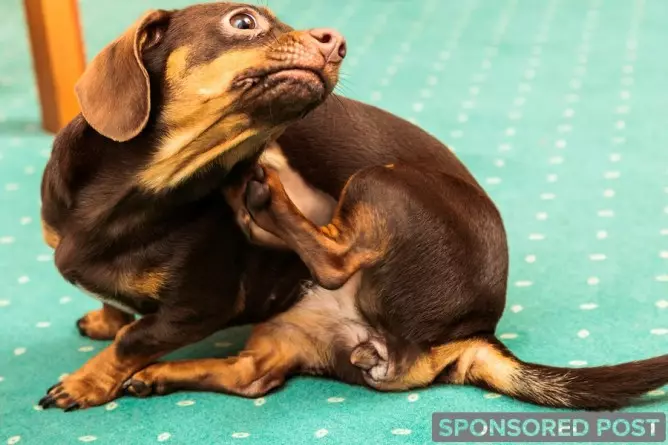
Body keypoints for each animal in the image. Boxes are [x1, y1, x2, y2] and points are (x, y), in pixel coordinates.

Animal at [39, 1, 664, 412]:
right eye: (243, 22)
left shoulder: (198, 307)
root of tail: (471, 335)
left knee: (336, 256)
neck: (137, 197)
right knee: (249, 375)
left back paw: (261, 196)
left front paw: (87, 382)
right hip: (285, 329)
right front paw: (104, 318)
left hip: (384, 181)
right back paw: (163, 374)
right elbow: (118, 311)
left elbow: (134, 339)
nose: (336, 41)